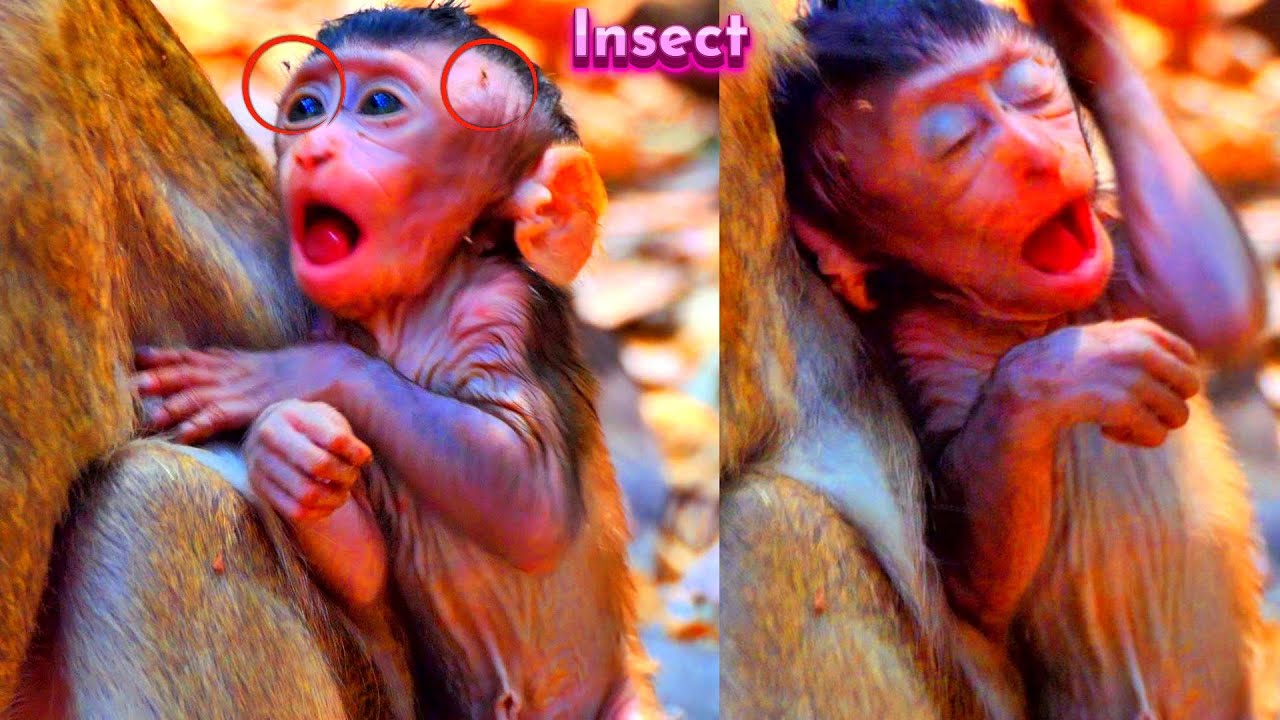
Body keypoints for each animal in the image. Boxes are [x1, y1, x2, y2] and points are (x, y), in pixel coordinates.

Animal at [128, 6, 658, 719]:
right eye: (305, 109)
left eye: (380, 104)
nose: (312, 148)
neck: (406, 314)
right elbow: (366, 572)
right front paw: (288, 454)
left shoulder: (501, 310)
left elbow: (530, 500)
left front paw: (288, 376)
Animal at [773, 0, 1271, 717]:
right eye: (956, 142)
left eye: (1029, 94)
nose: (1035, 155)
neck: (1023, 318)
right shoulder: (923, 355)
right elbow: (969, 584)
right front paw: (1071, 374)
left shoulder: (1115, 271)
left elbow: (1212, 301)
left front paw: (1081, 30)